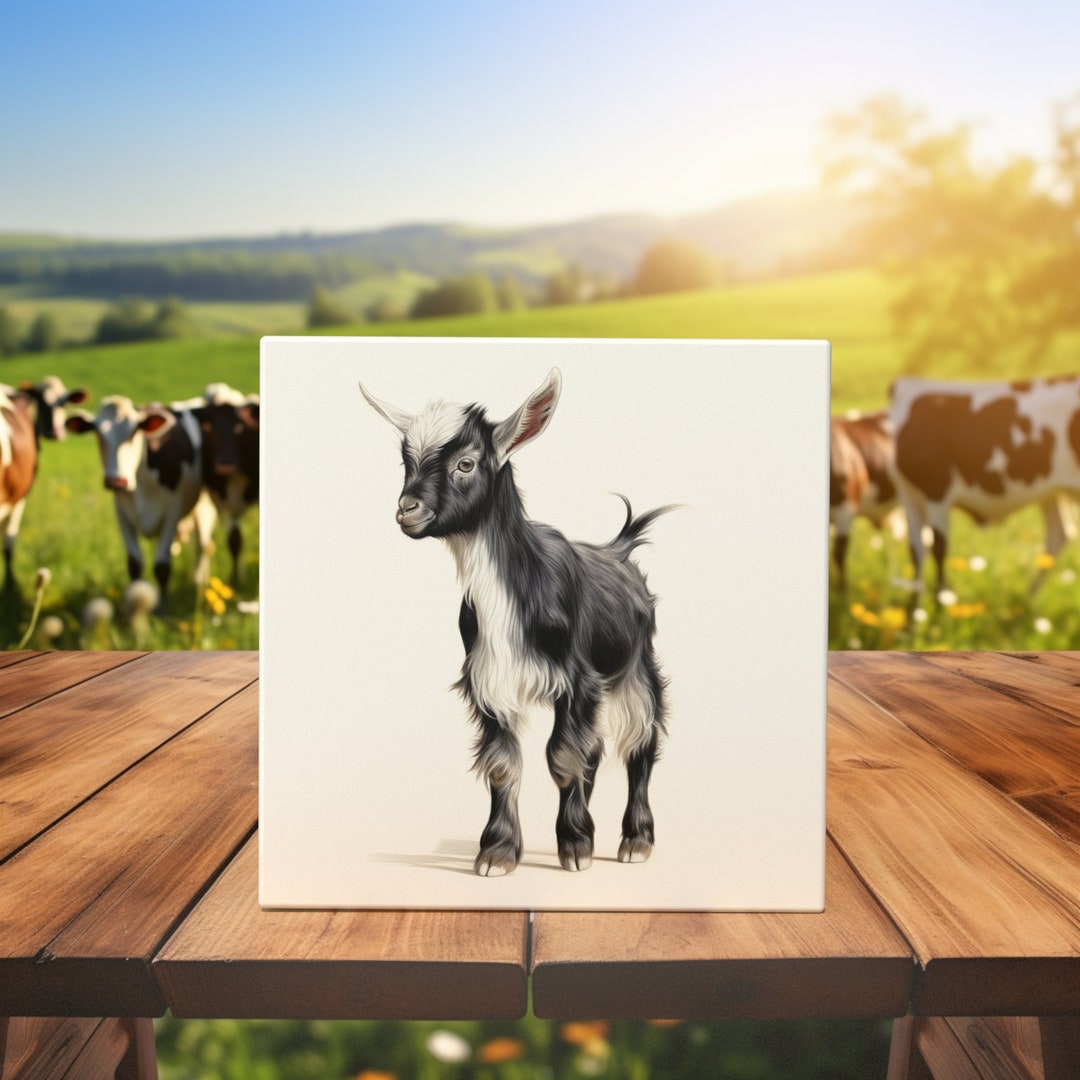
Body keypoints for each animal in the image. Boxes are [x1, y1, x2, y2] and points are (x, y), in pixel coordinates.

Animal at [361, 367, 673, 877]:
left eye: (466, 463)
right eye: (406, 461)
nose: (407, 509)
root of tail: (618, 549)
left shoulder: (578, 680)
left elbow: (562, 758)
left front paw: (576, 847)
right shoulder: (490, 681)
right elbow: (505, 765)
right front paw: (498, 851)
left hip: (636, 669)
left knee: (640, 744)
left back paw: (636, 840)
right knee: (596, 747)